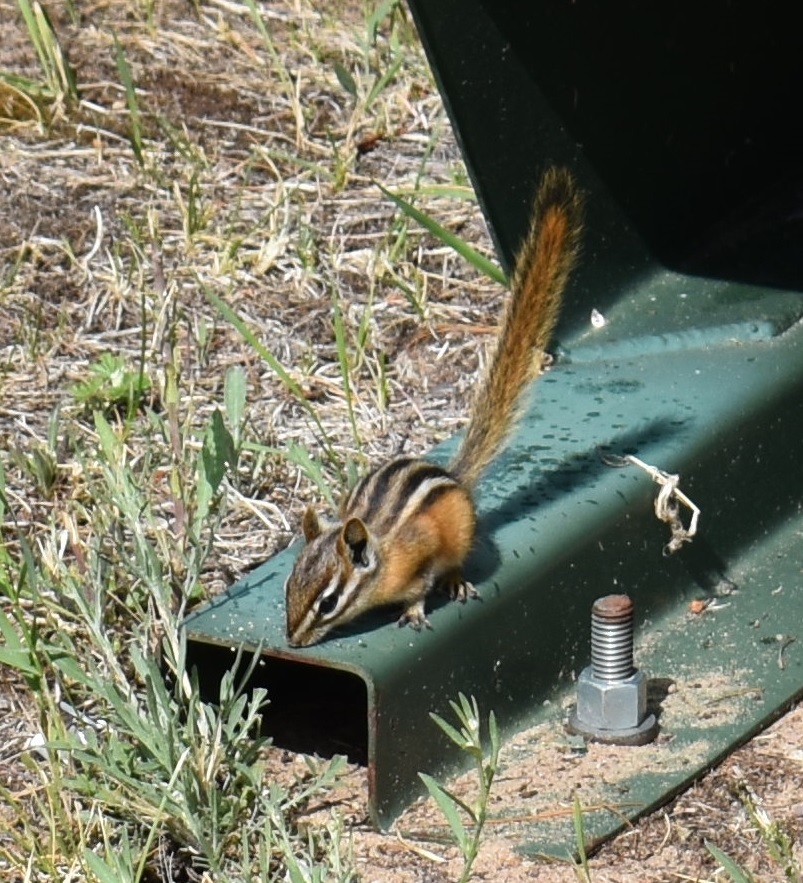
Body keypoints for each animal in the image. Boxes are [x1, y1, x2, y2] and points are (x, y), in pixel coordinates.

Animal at [285, 167, 583, 647]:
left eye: (327, 602)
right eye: (289, 587)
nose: (293, 641)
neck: (382, 552)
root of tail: (453, 476)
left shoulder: (420, 557)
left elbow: (420, 586)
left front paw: (414, 609)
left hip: (460, 534)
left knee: (457, 559)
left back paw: (456, 580)